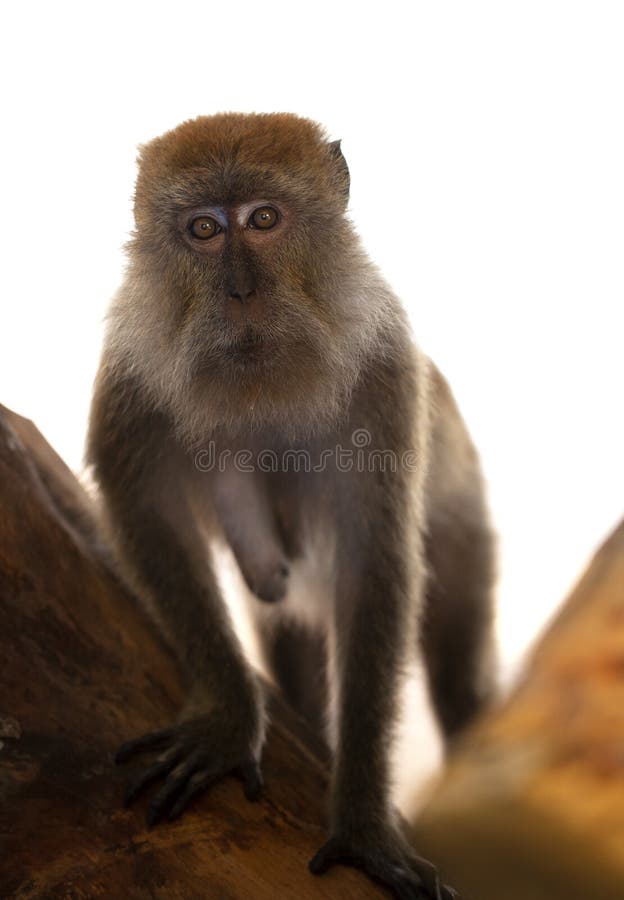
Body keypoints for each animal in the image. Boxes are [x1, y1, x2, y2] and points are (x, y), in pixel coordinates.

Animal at [87, 112, 496, 900]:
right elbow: (144, 511)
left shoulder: (384, 370)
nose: (241, 291)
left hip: (468, 532)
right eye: (204, 230)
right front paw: (228, 714)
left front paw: (364, 825)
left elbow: (374, 567)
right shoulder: (133, 367)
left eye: (265, 220)